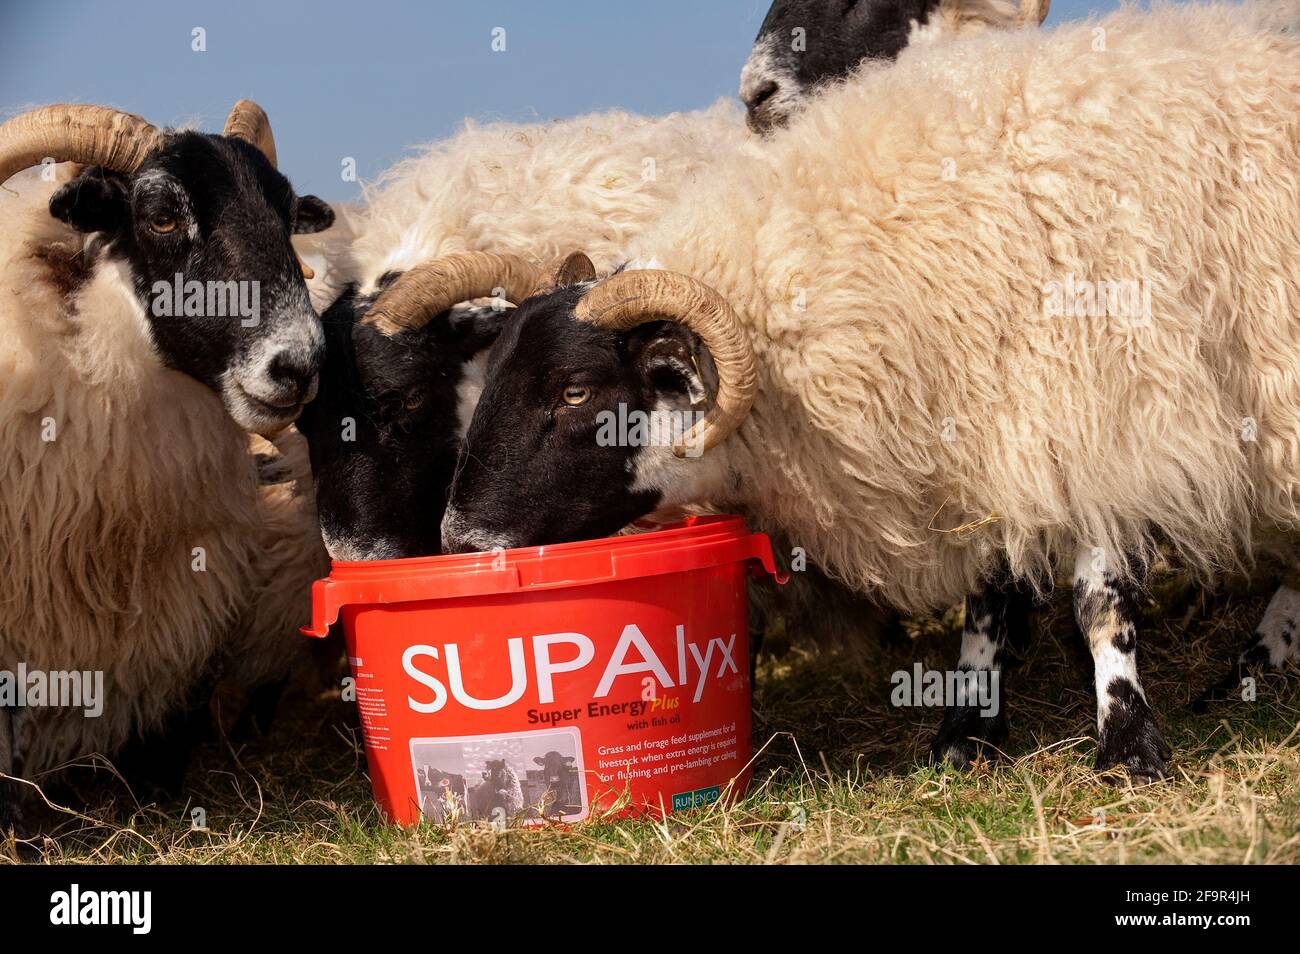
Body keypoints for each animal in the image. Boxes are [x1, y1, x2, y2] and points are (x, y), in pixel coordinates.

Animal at [436, 2, 1300, 782]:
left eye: (575, 394)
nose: (457, 542)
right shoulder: (986, 432)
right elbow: (990, 590)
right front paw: (967, 729)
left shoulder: (1100, 408)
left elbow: (1102, 600)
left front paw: (1126, 744)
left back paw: (1258, 658)